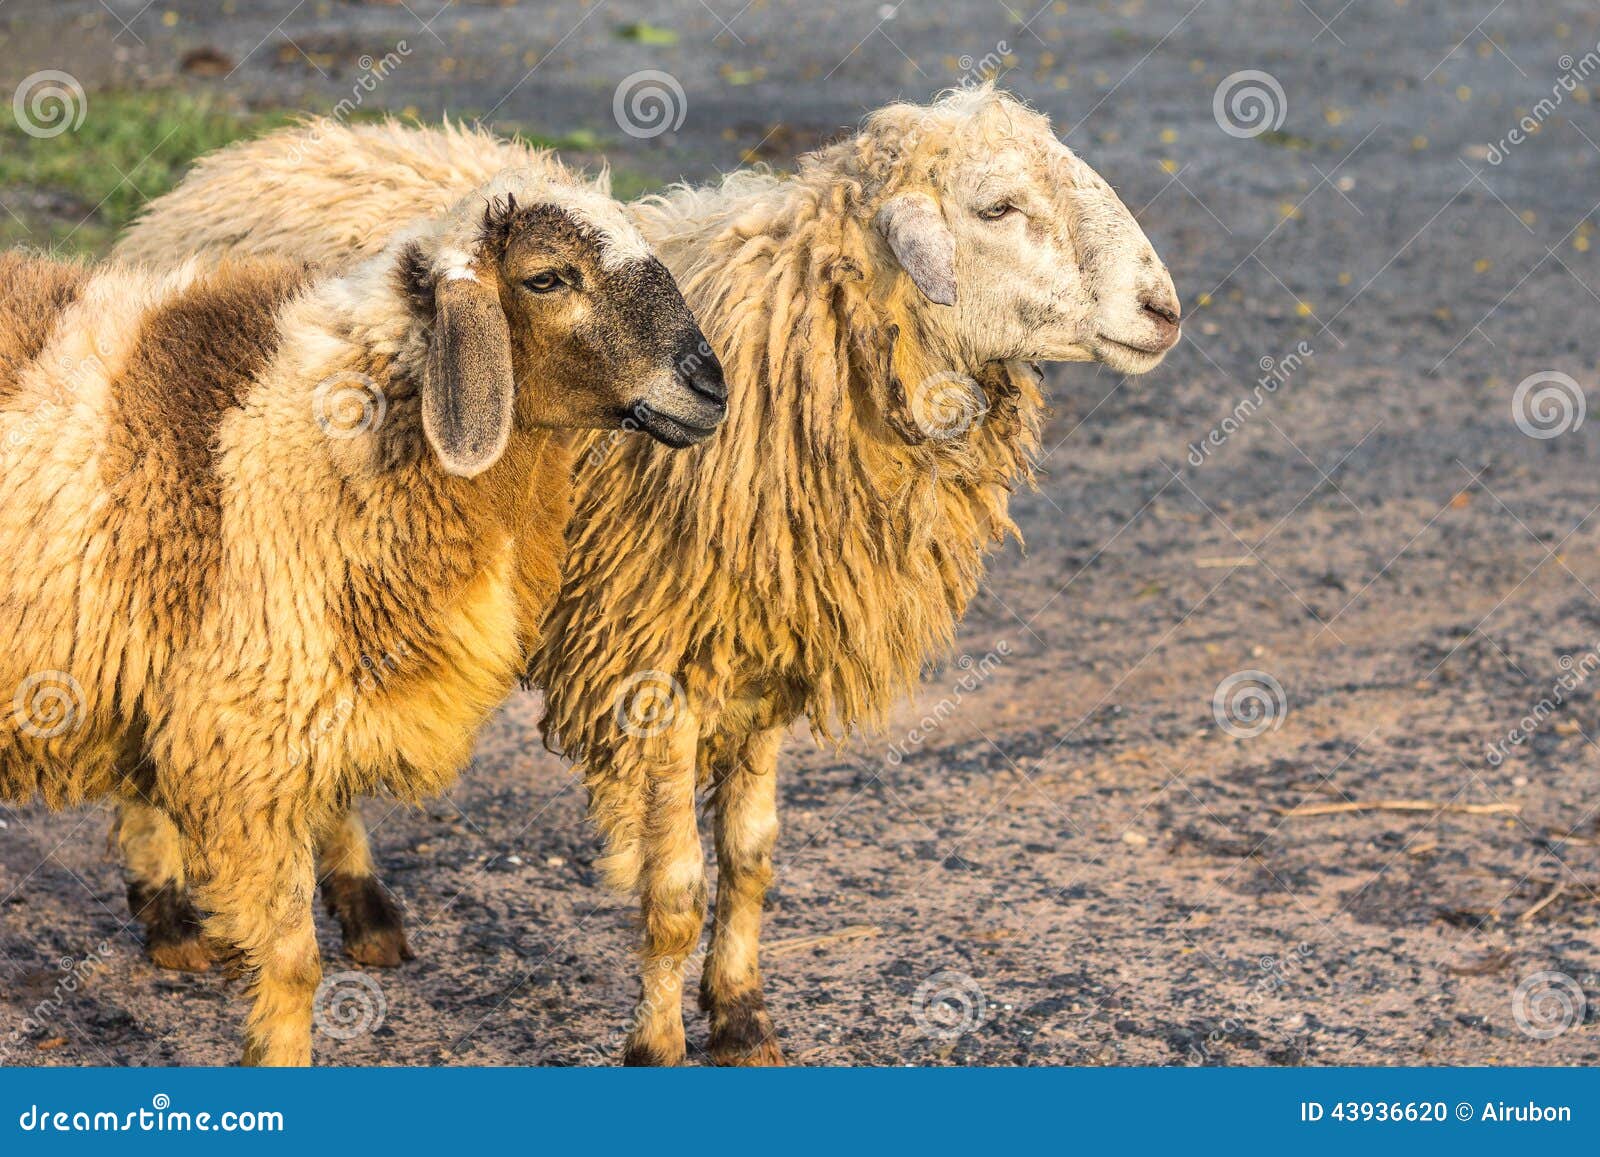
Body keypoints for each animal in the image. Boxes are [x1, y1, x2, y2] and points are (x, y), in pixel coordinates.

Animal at [109, 86, 1181, 1064]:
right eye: (999, 206)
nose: (1165, 310)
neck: (788, 348)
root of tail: (248, 157)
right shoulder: (649, 663)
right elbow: (673, 891)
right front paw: (658, 1042)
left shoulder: (760, 662)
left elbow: (751, 860)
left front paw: (743, 1017)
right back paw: (169, 915)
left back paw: (363, 908)